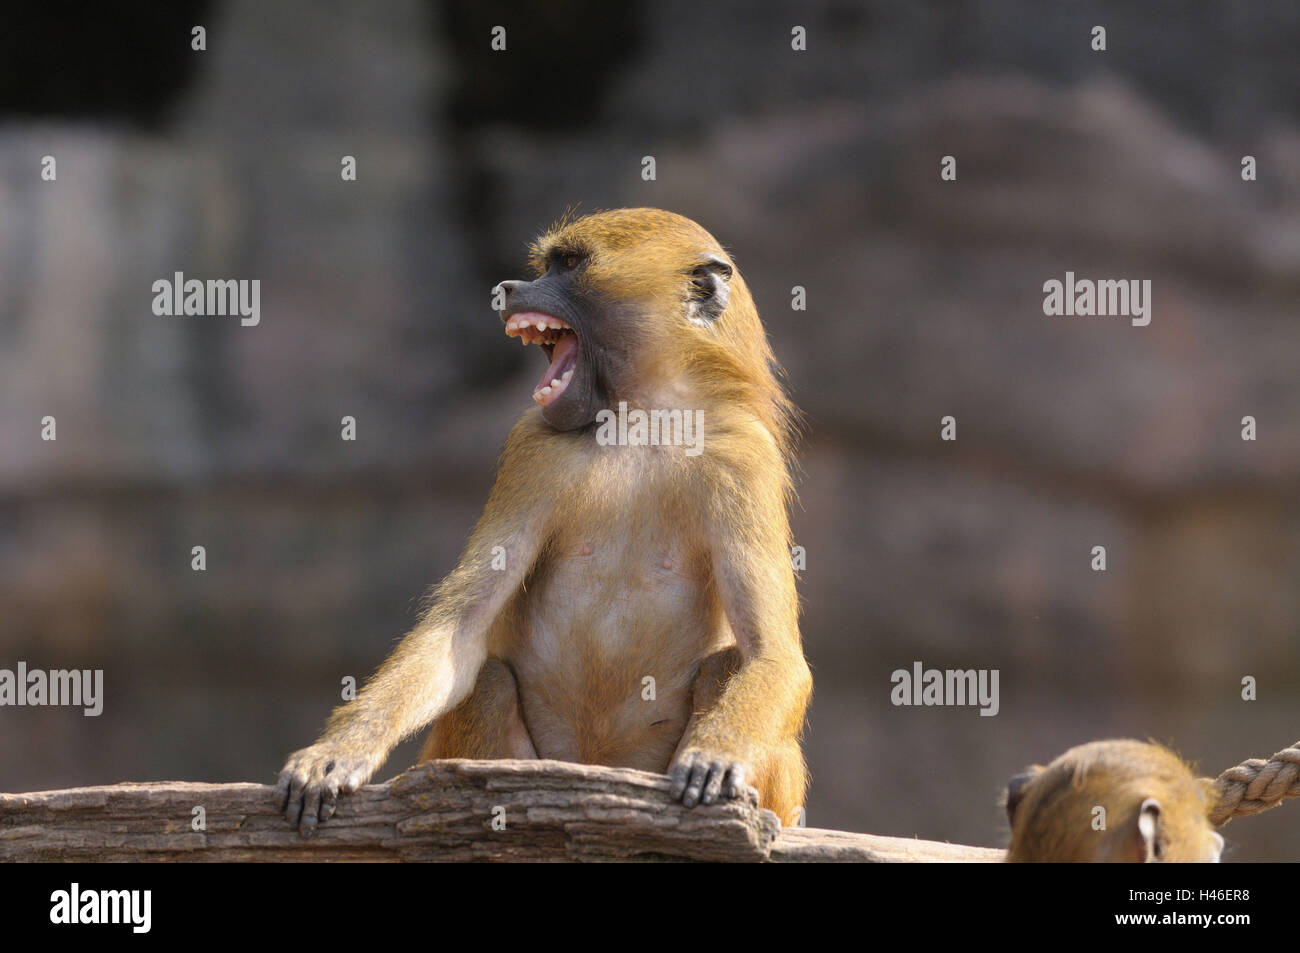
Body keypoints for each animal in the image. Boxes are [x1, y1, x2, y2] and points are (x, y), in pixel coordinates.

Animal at [278, 208, 812, 834]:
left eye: (571, 263)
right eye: (547, 264)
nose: (509, 288)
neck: (644, 419)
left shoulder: (744, 455)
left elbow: (773, 655)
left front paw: (717, 754)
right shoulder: (532, 446)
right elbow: (457, 629)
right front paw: (339, 751)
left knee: (728, 665)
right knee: (485, 681)